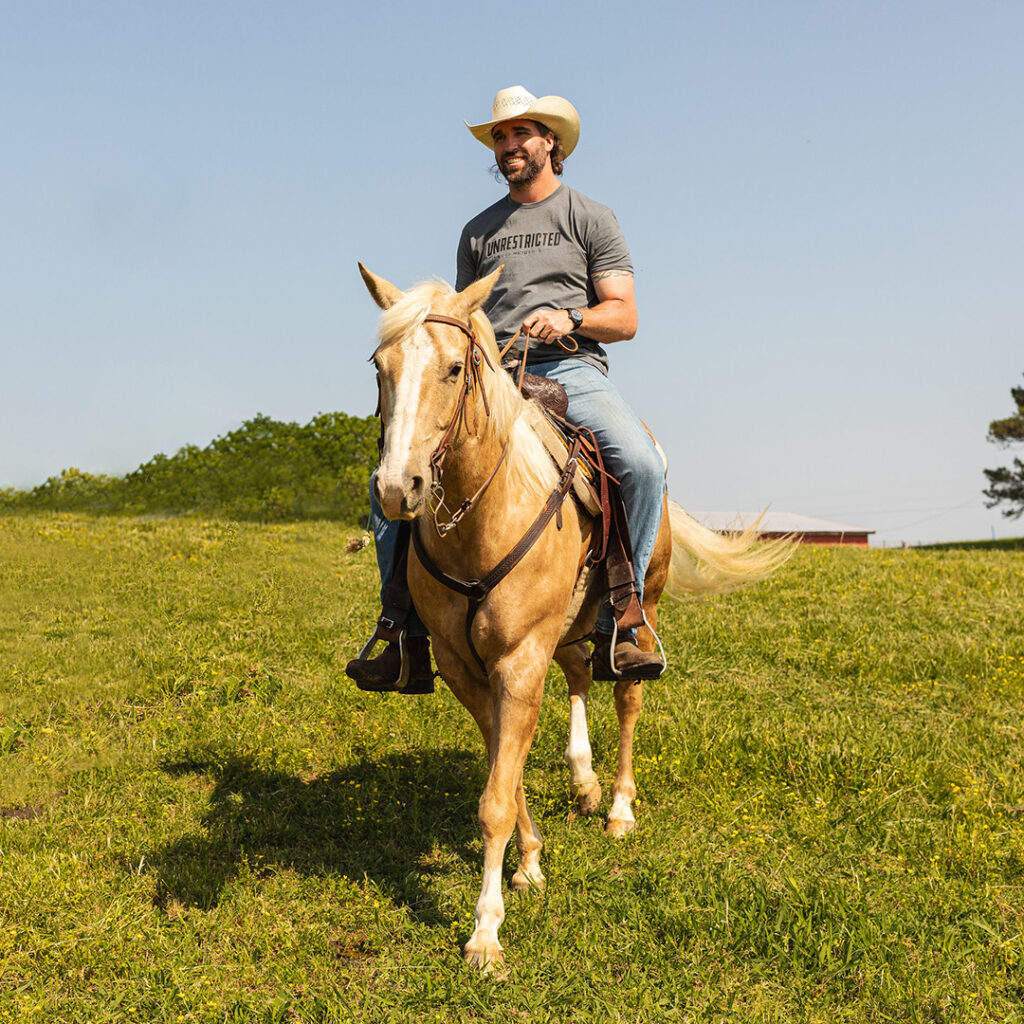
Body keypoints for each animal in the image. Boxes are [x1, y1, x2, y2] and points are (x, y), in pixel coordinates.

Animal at [359, 263, 792, 971]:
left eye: (453, 368)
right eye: (380, 366)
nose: (398, 489)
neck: (481, 518)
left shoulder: (519, 660)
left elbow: (496, 796)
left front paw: (486, 935)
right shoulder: (467, 667)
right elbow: (503, 771)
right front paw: (530, 863)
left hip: (636, 614)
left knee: (625, 695)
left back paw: (617, 808)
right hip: (567, 629)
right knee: (582, 674)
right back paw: (584, 781)